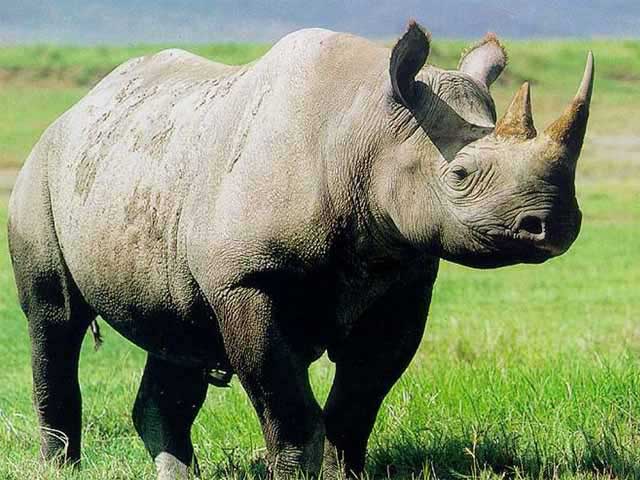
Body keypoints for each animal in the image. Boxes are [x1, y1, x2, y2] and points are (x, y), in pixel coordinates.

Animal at [8, 20, 593, 479]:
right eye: (461, 175)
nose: (555, 225)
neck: (367, 130)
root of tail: (75, 110)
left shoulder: (402, 279)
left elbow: (356, 403)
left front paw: (344, 474)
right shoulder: (245, 278)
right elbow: (288, 410)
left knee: (176, 338)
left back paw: (176, 474)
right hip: (42, 172)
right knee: (54, 319)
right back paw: (60, 467)